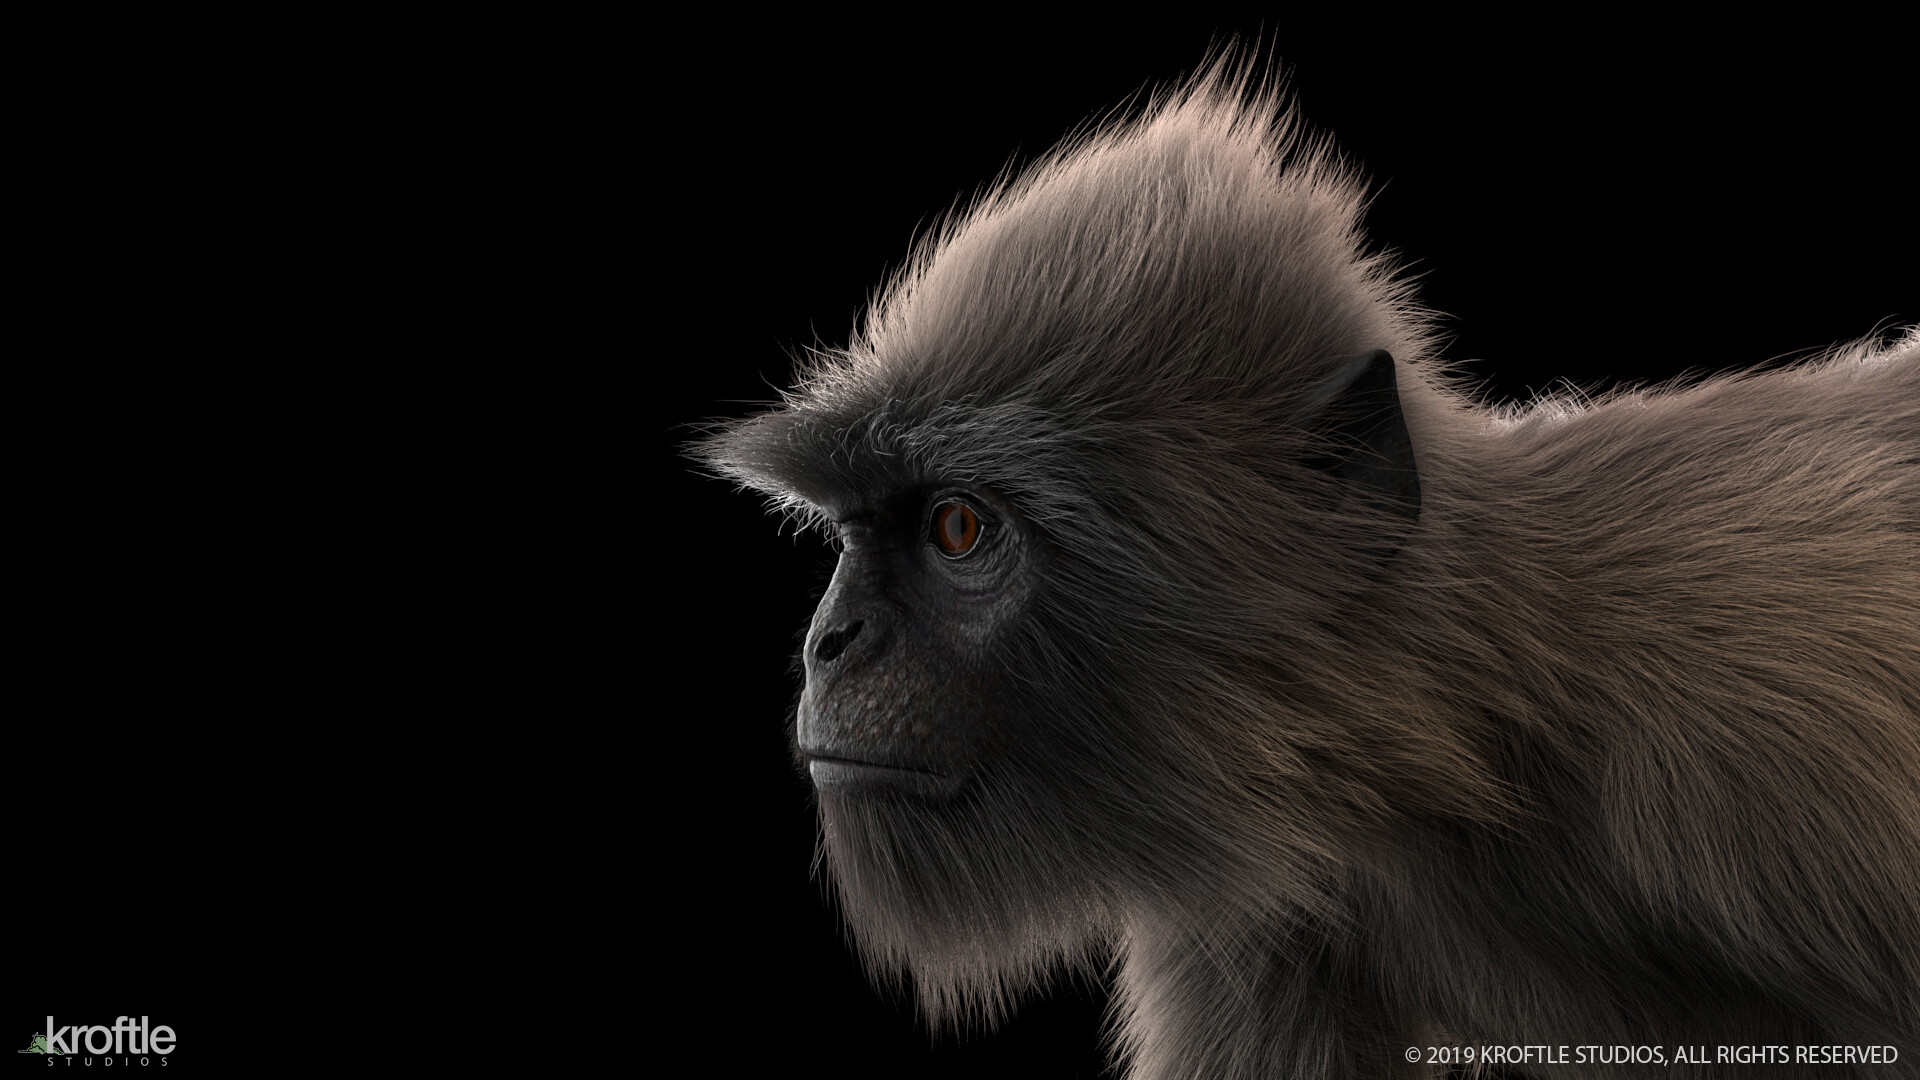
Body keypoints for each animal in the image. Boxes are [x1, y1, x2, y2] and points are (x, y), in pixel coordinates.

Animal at [694, 56, 1919, 1080]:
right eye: (855, 538)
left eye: (958, 529)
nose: (827, 642)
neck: (1479, 748)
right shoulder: (1261, 904)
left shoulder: (1780, 747)